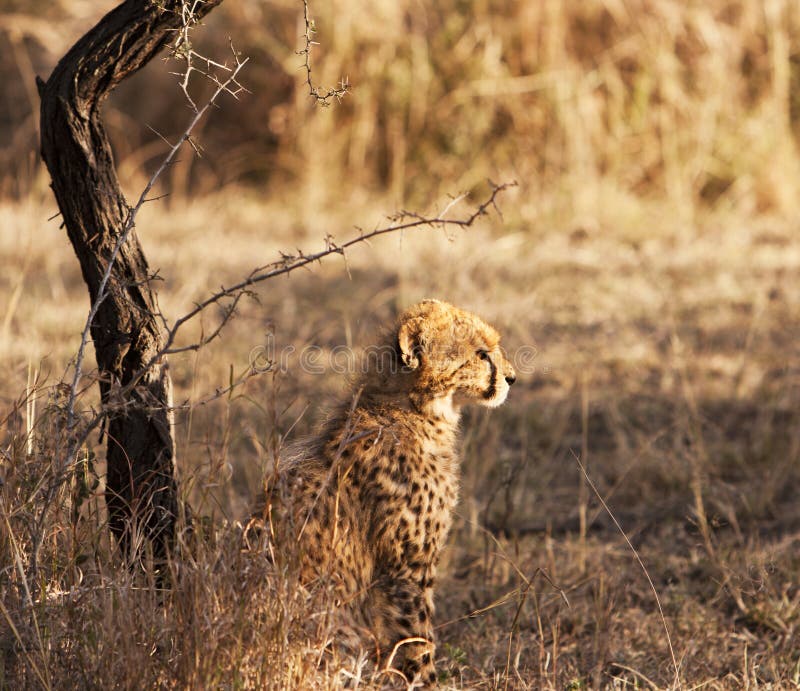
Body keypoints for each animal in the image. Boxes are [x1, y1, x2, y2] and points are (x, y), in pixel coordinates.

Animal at [254, 299, 516, 686]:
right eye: (481, 354)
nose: (512, 378)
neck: (412, 408)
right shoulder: (405, 573)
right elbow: (417, 640)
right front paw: (428, 682)